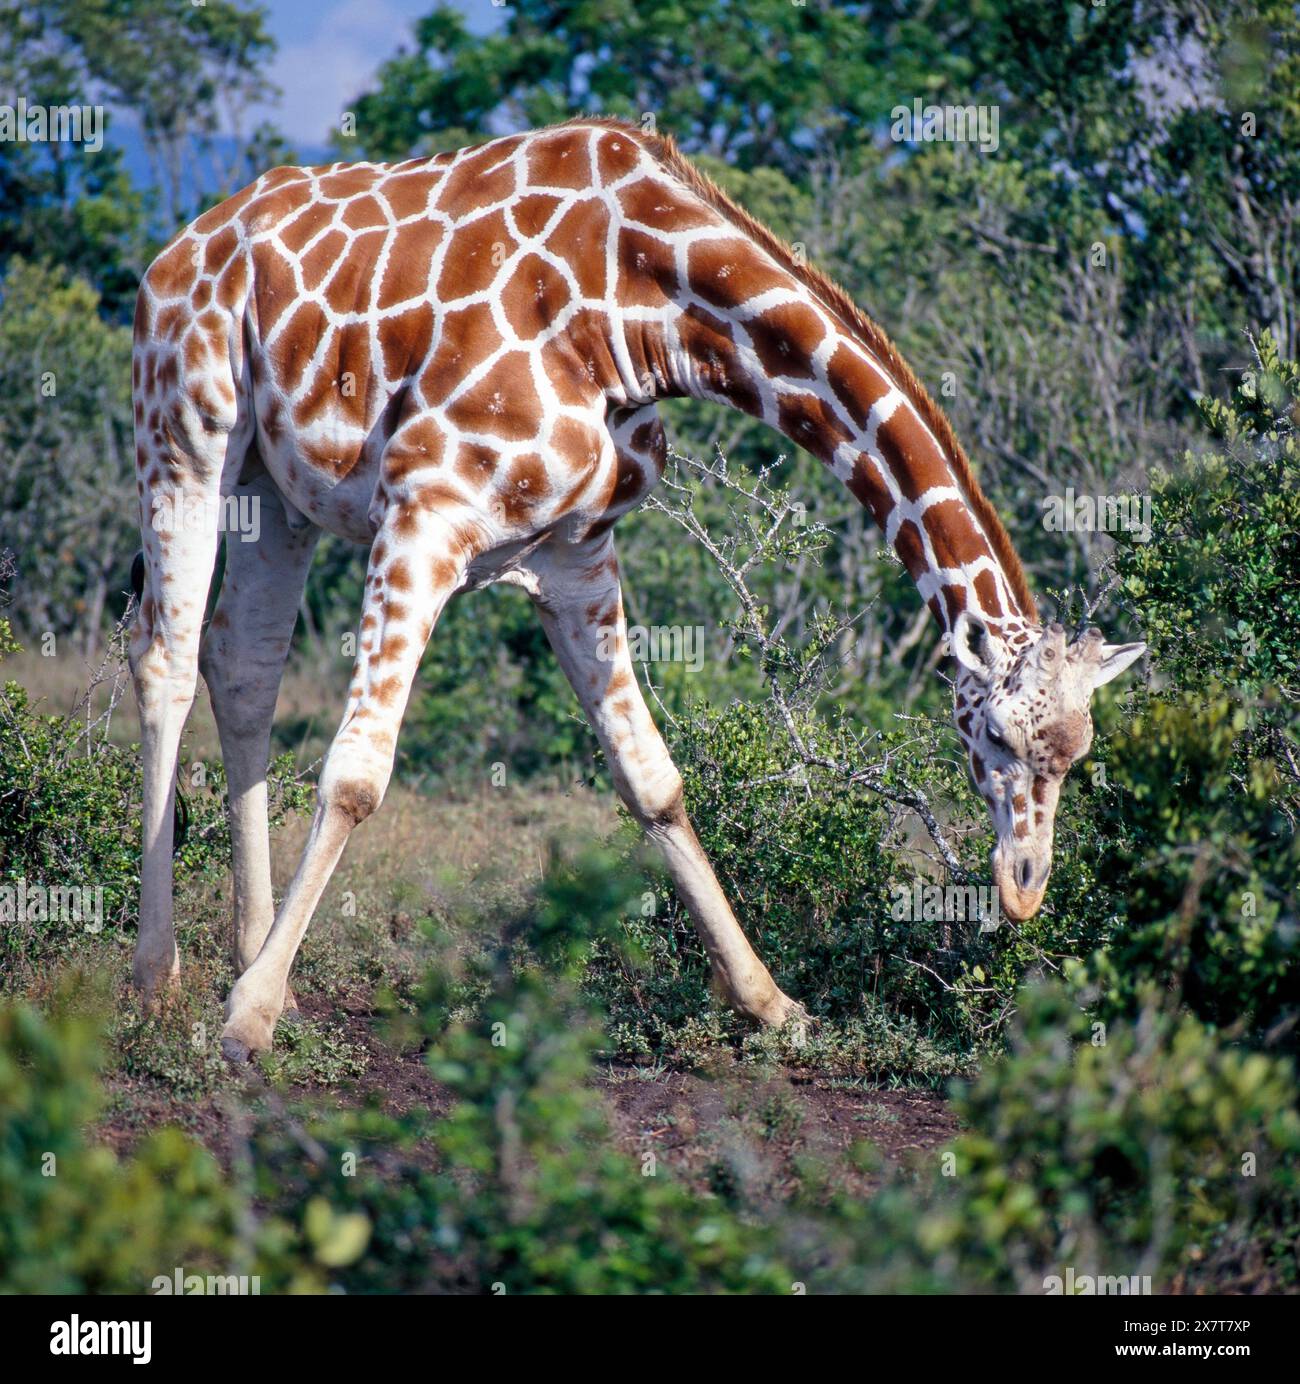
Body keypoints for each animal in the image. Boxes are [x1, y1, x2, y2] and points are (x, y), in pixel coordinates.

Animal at [127, 117, 1144, 1060]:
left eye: (1081, 752)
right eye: (997, 734)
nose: (1024, 889)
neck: (643, 307)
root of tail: (173, 251)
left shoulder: (578, 553)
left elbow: (651, 778)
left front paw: (772, 1003)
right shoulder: (424, 512)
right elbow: (356, 777)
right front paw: (246, 1021)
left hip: (278, 490)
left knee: (244, 665)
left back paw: (256, 959)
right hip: (187, 433)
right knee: (166, 657)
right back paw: (161, 978)